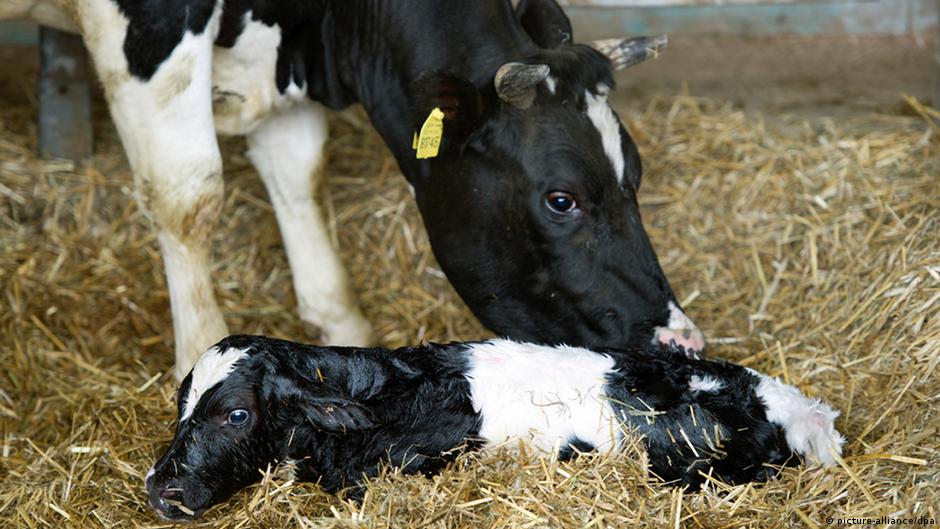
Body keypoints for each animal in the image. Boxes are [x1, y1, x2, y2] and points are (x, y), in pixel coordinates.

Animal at [2, 0, 704, 380]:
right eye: (562, 199)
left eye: (635, 175)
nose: (684, 342)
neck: (311, 40)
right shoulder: (150, 28)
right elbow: (188, 195)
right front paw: (200, 363)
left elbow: (298, 171)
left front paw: (340, 328)